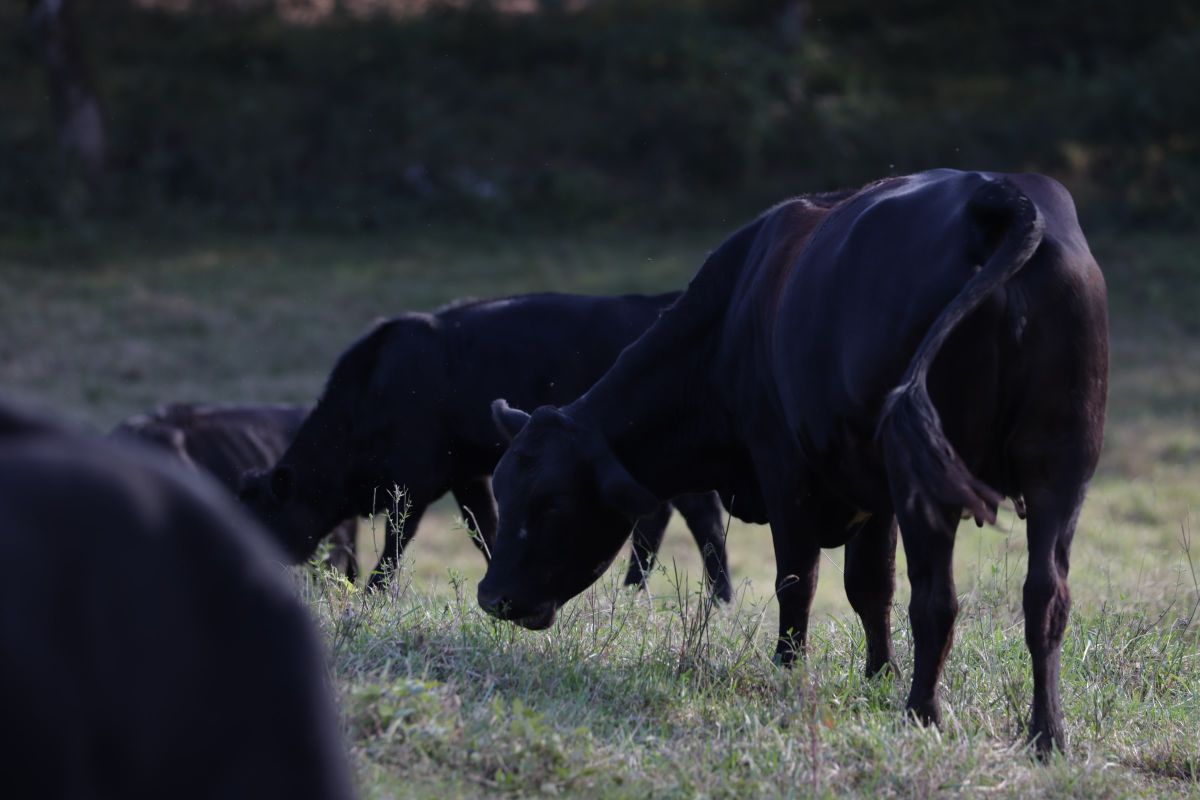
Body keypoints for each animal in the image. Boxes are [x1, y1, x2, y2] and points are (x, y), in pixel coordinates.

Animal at [238, 293, 733, 599]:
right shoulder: (466, 475)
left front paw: (373, 593)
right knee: (665, 514)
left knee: (698, 513)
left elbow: (398, 541)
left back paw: (715, 597)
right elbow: (485, 528)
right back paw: (639, 591)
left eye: (264, 519)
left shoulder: (415, 479)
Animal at [478, 170, 1108, 757]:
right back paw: (1047, 734)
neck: (731, 321)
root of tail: (996, 193)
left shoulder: (788, 473)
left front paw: (789, 672)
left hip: (929, 484)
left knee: (936, 600)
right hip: (1061, 466)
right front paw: (878, 676)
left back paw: (923, 713)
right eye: (502, 492)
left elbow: (798, 583)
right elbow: (869, 587)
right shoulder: (870, 490)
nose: (492, 595)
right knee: (1045, 595)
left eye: (552, 503)